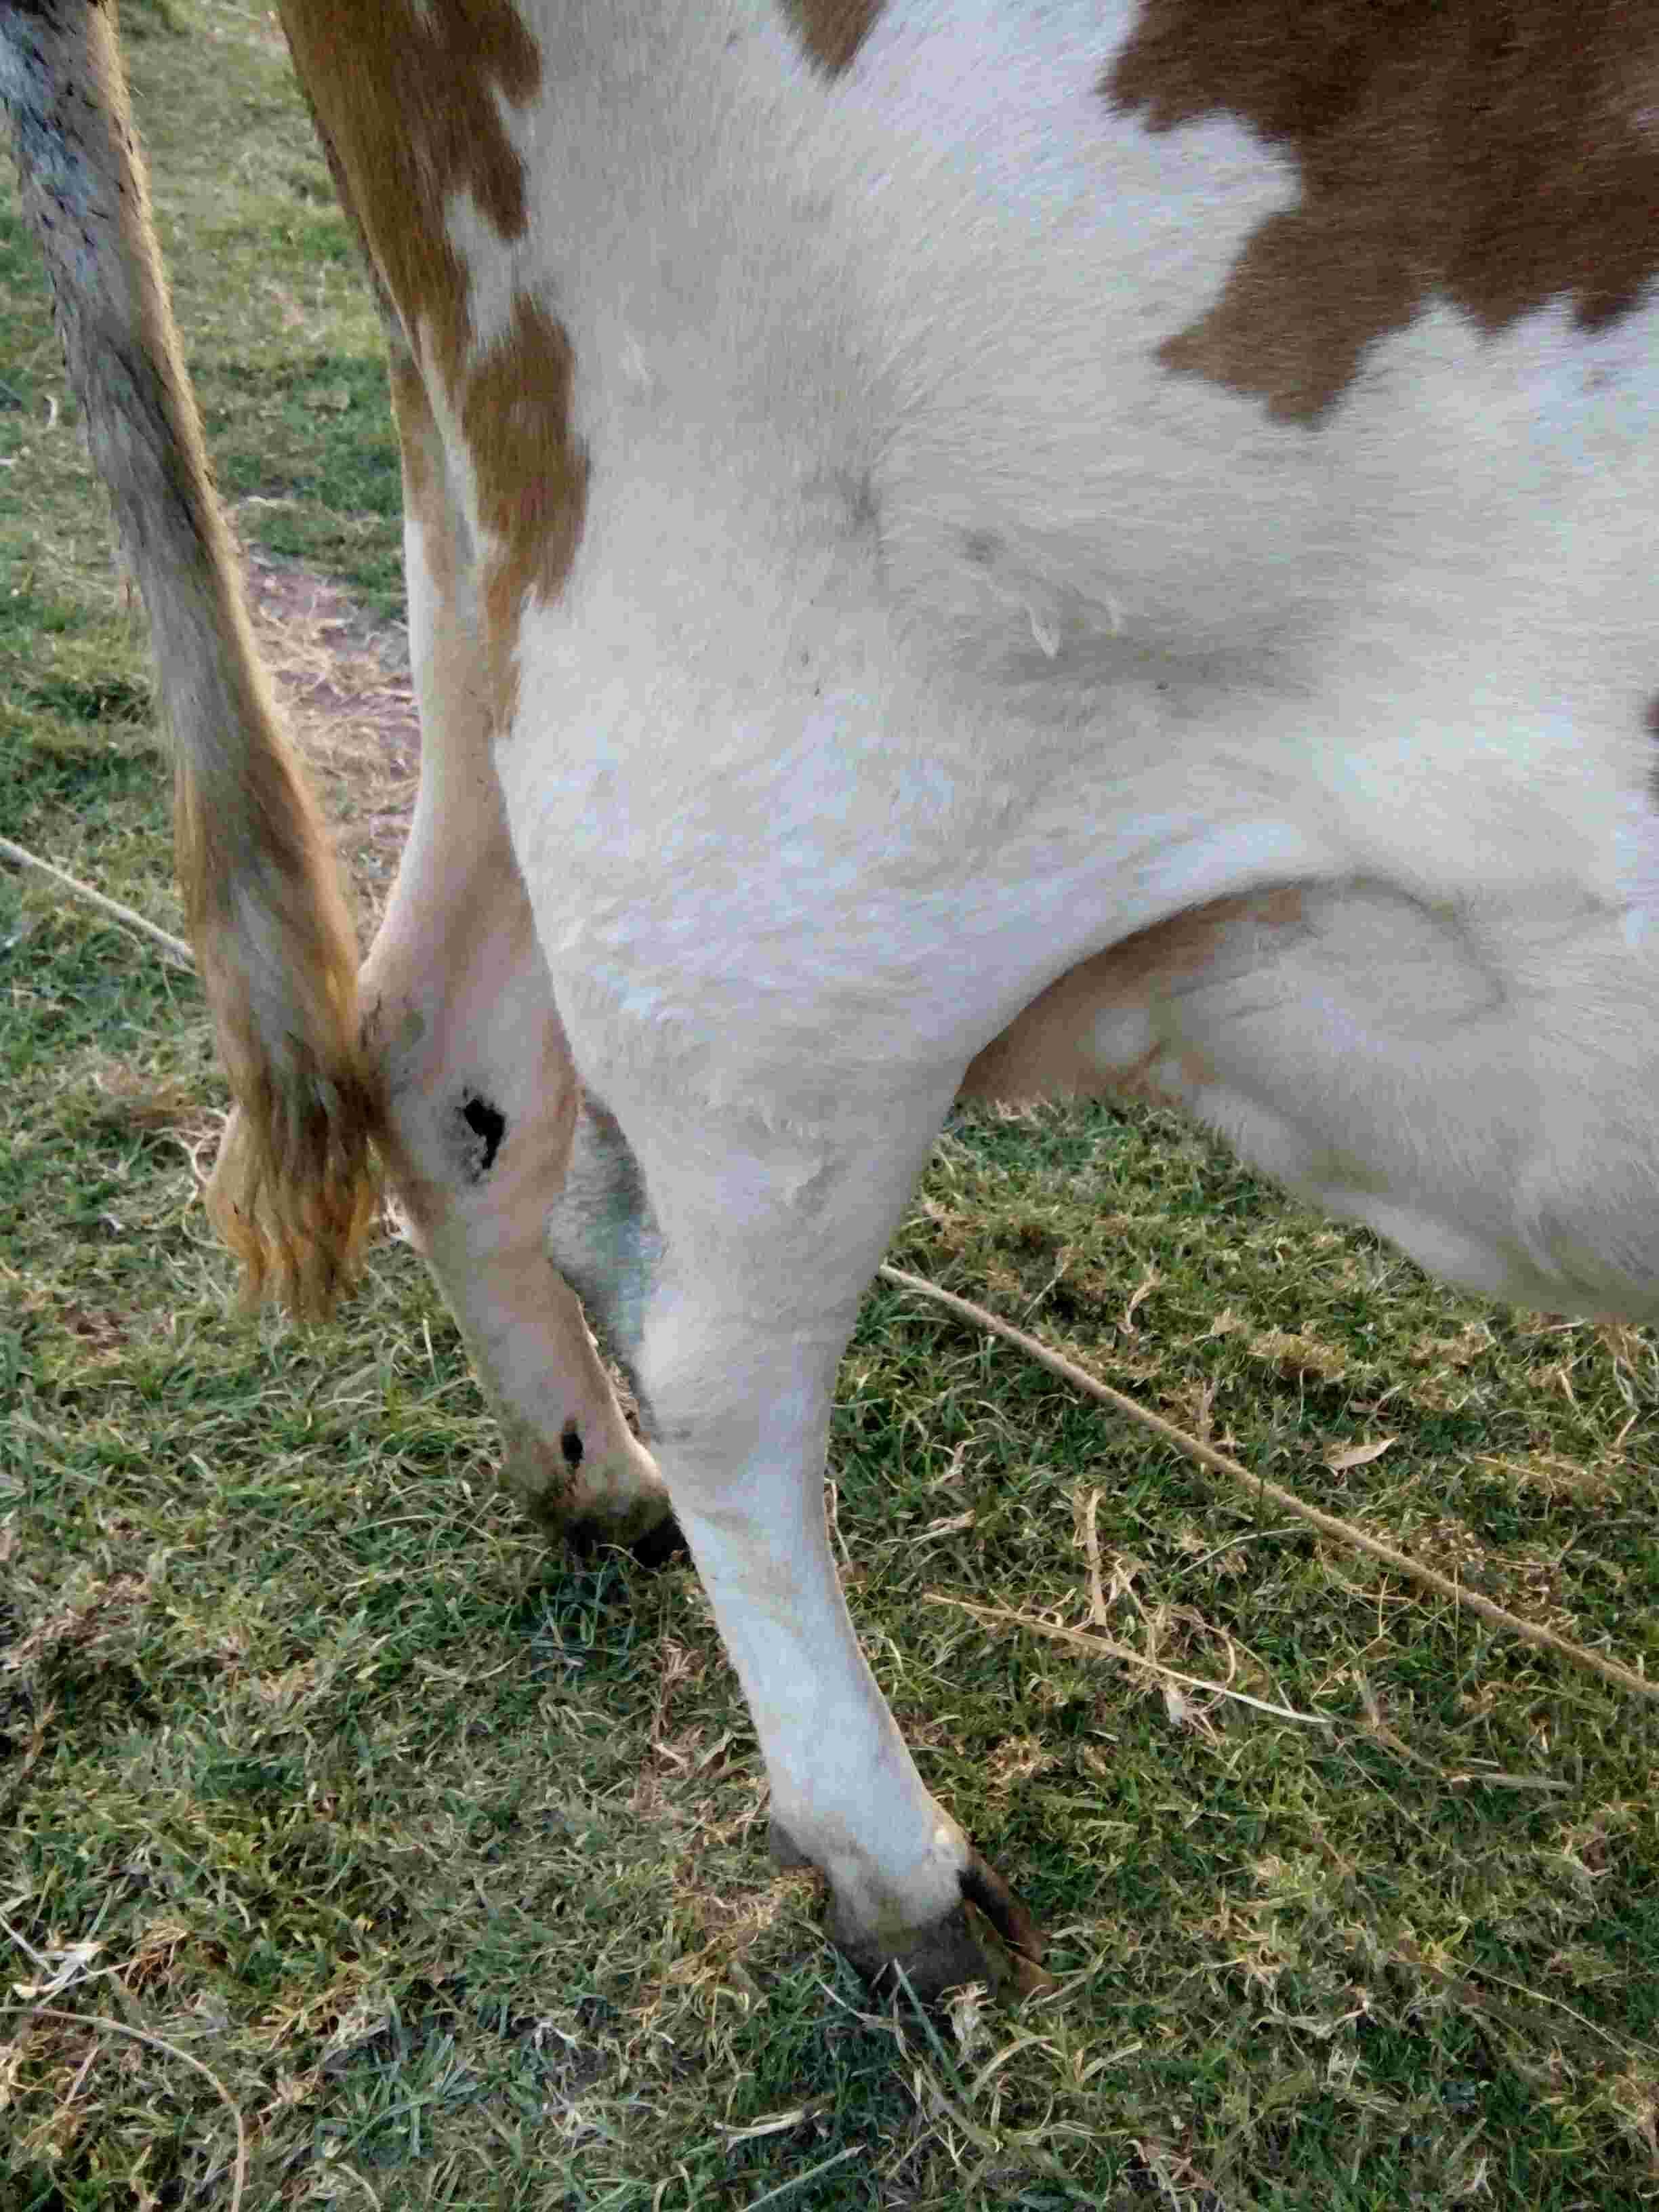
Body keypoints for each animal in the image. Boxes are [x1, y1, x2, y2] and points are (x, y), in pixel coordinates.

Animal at [5, 0, 1658, 1995]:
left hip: (503, 572)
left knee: (443, 1066)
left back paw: (594, 1480)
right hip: (784, 842)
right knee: (722, 1360)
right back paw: (894, 1869)